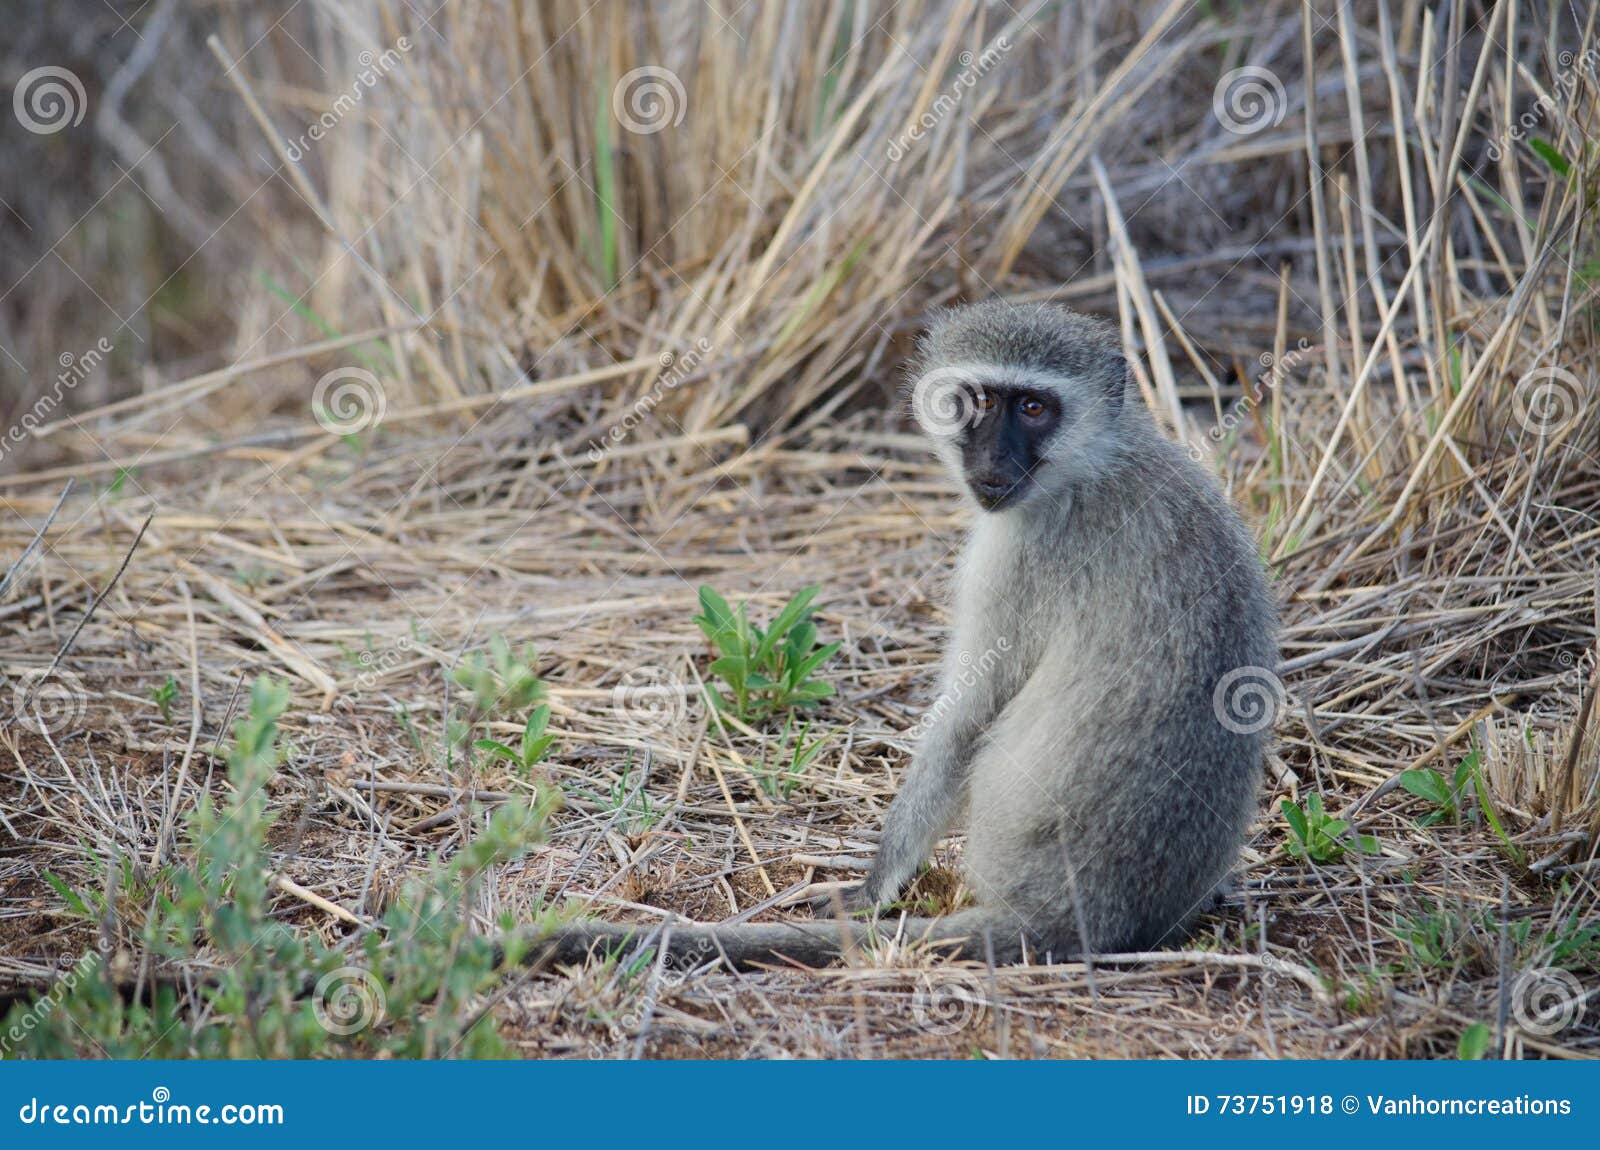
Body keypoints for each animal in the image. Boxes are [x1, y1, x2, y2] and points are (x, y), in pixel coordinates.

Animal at [527, 301, 1278, 971]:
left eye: (1034, 408)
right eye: (977, 399)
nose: (994, 461)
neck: (1094, 462)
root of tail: (1090, 917)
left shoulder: (1019, 559)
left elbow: (968, 713)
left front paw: (873, 887)